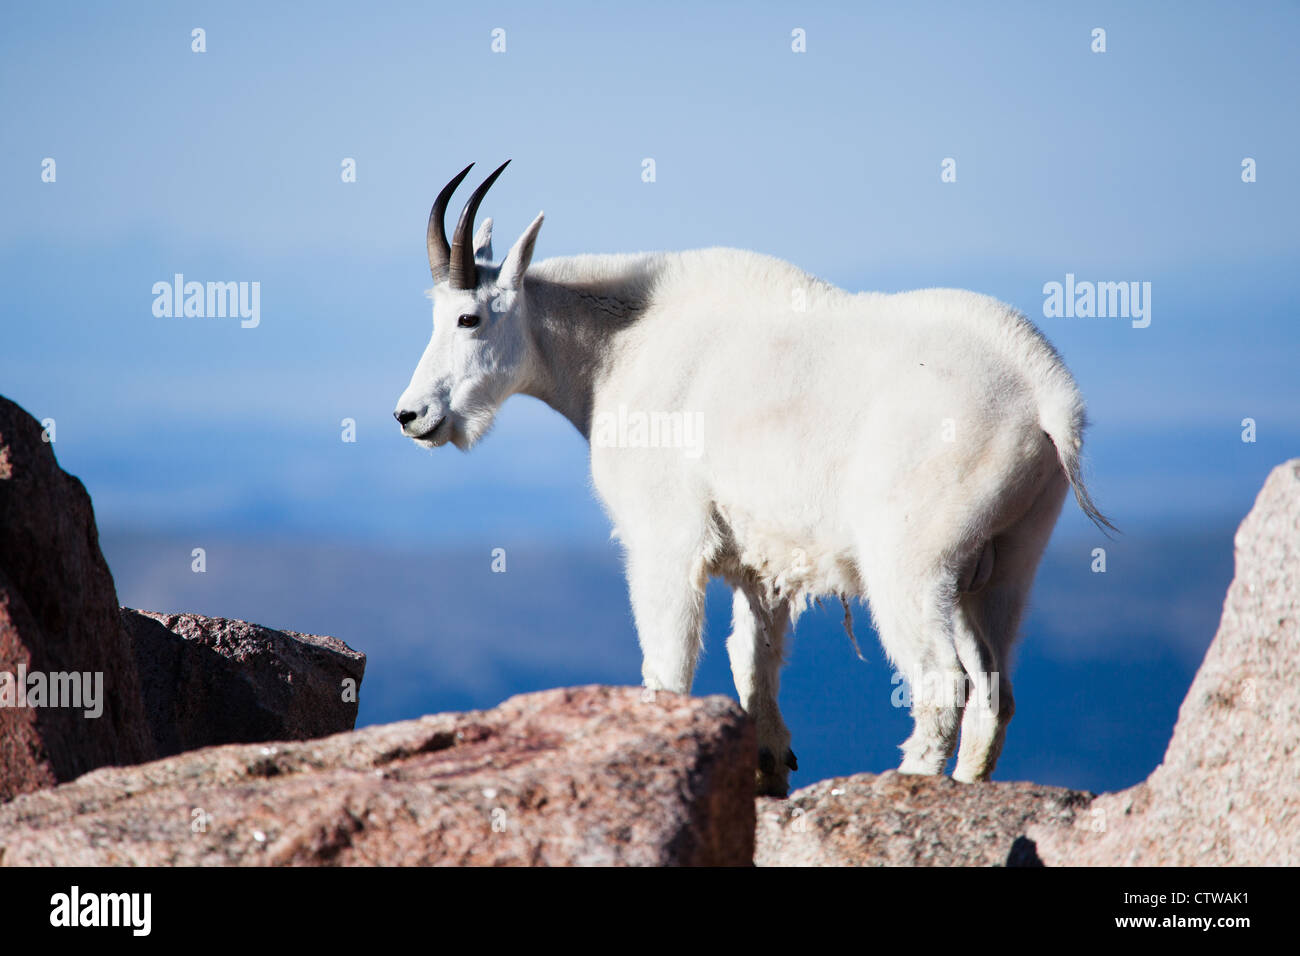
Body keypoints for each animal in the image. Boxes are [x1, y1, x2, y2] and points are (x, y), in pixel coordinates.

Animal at [394, 162, 1114, 796]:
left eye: (469, 318)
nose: (412, 415)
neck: (618, 348)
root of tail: (1047, 395)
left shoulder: (666, 539)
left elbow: (668, 664)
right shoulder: (759, 562)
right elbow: (752, 660)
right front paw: (768, 769)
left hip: (912, 561)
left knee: (941, 680)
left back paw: (909, 782)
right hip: (1006, 559)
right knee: (996, 686)